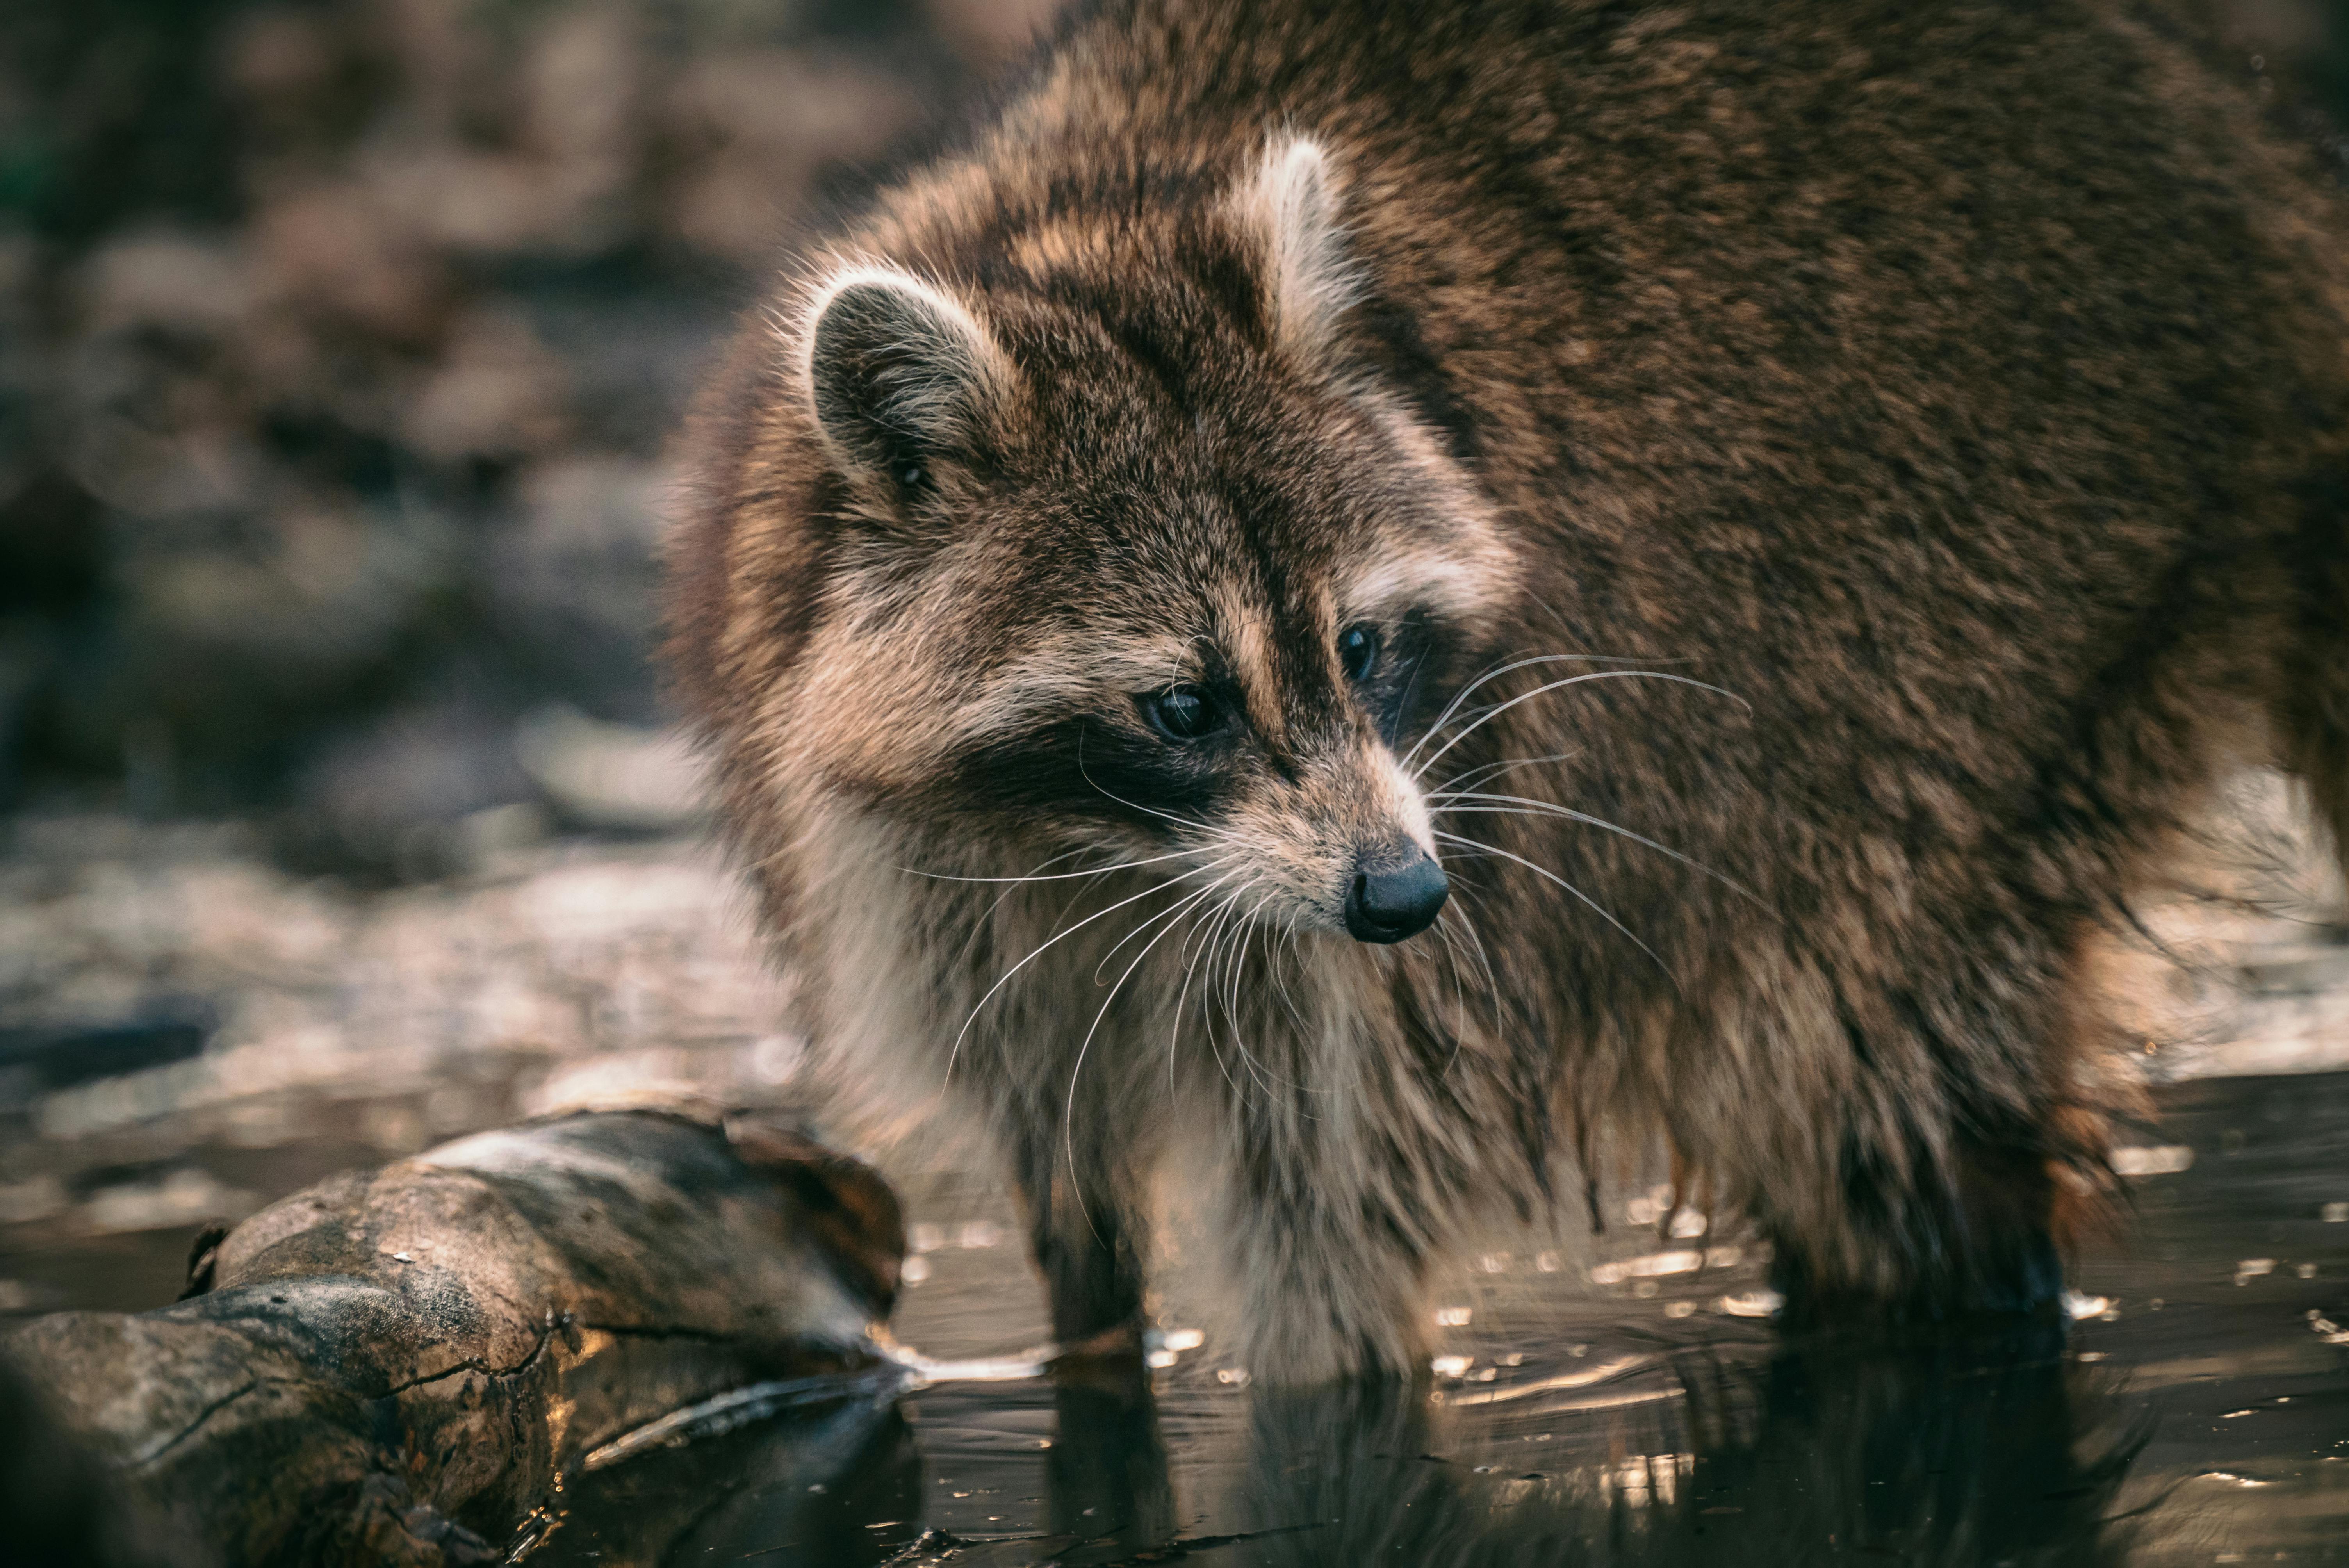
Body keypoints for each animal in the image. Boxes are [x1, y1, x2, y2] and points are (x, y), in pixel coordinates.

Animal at [668, 0, 2349, 1381]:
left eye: (1360, 646)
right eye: (1183, 706)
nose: (1404, 893)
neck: (1112, 854)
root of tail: (2253, 200)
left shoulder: (1444, 914)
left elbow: (1331, 1245)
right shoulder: (937, 901)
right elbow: (1068, 1203)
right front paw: (1089, 1365)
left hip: (1998, 649)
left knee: (1877, 1079)